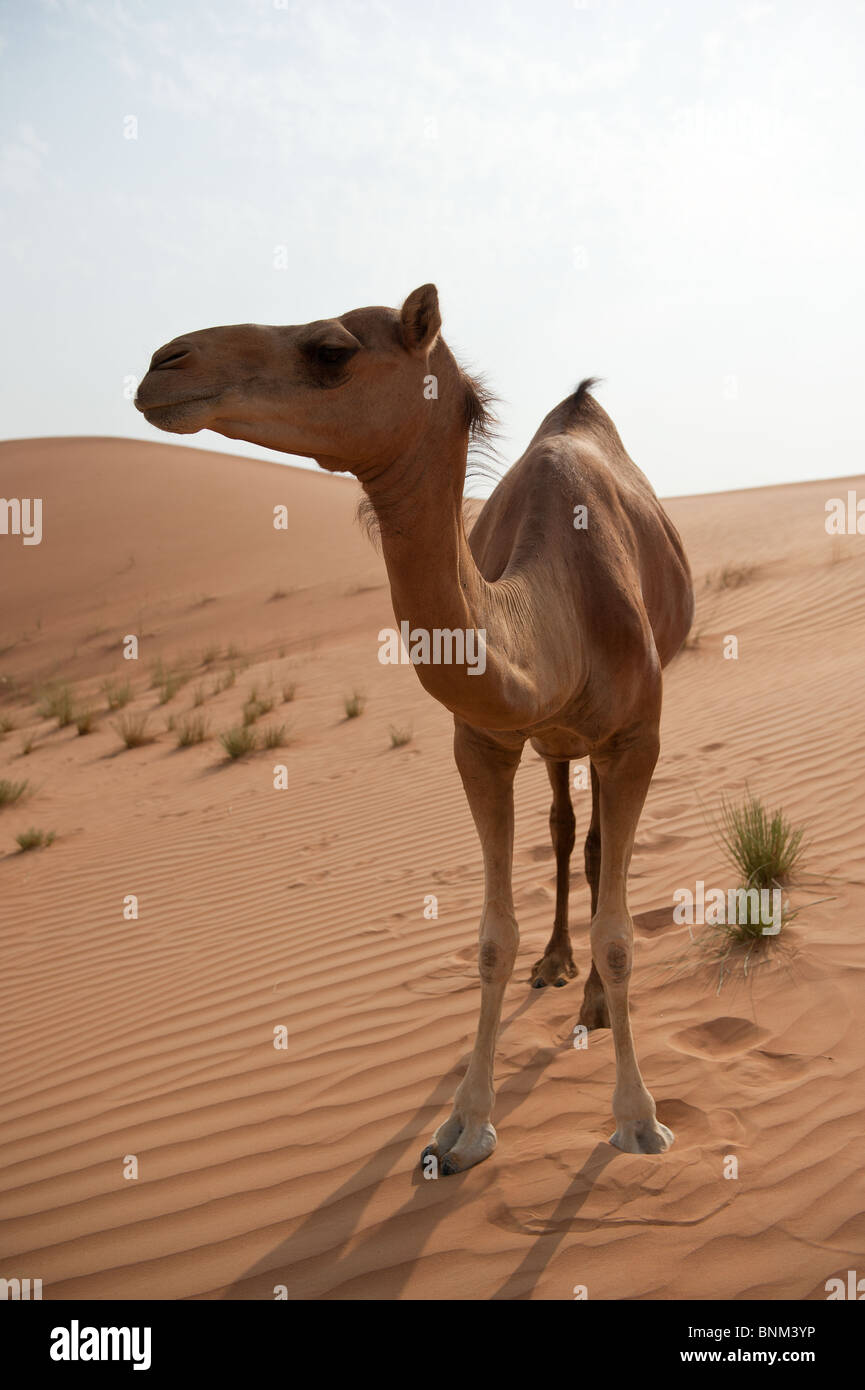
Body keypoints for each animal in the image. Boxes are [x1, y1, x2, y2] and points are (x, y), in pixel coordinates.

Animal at [135, 284, 694, 1173]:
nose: (163, 364)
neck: (560, 612)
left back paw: (592, 1003)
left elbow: (618, 934)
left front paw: (638, 1119)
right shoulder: (481, 741)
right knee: (565, 828)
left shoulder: (638, 737)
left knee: (597, 844)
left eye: (331, 351)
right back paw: (555, 963)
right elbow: (492, 937)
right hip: (550, 741)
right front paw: (464, 1126)